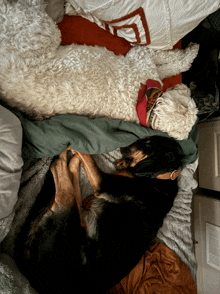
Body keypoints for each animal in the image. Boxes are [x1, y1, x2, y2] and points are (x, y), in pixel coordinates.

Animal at [0, 0, 199, 140]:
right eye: (190, 101)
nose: (187, 87)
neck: (147, 106)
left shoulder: (141, 63)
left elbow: (169, 67)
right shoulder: (141, 57)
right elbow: (168, 61)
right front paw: (190, 54)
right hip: (38, 29)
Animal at [13, 136, 184, 294]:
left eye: (148, 145)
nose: (122, 147)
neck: (161, 177)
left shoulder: (103, 183)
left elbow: (89, 158)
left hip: (67, 209)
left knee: (59, 170)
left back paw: (63, 152)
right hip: (77, 217)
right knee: (72, 183)